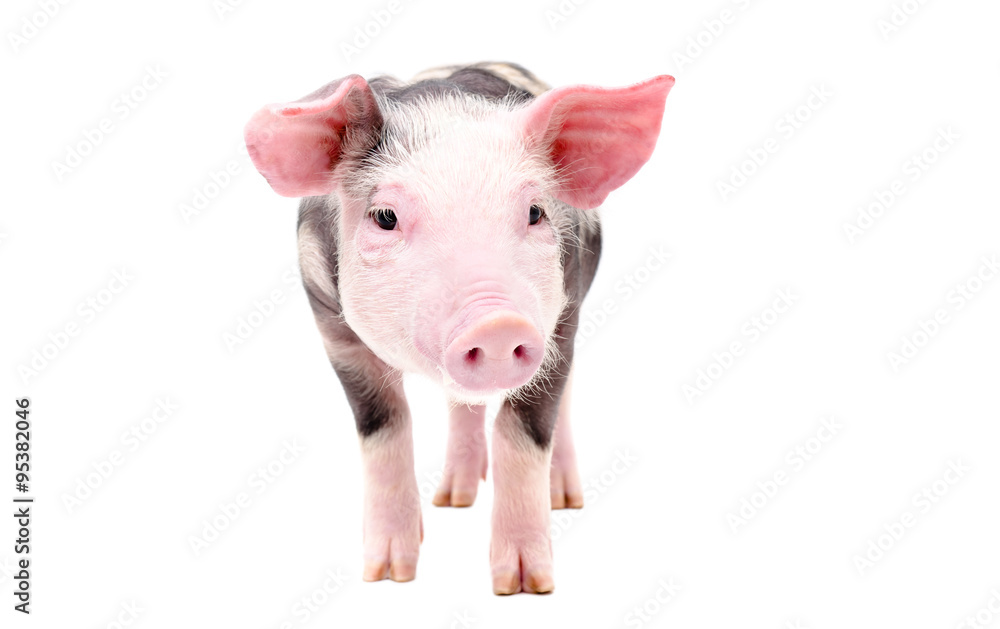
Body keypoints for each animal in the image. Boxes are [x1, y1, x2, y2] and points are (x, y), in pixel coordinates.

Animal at [244, 62, 673, 594]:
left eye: (535, 212)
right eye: (385, 217)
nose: (497, 322)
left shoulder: (559, 323)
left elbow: (522, 434)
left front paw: (524, 585)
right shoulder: (333, 331)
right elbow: (385, 429)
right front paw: (388, 575)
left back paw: (562, 498)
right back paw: (452, 498)